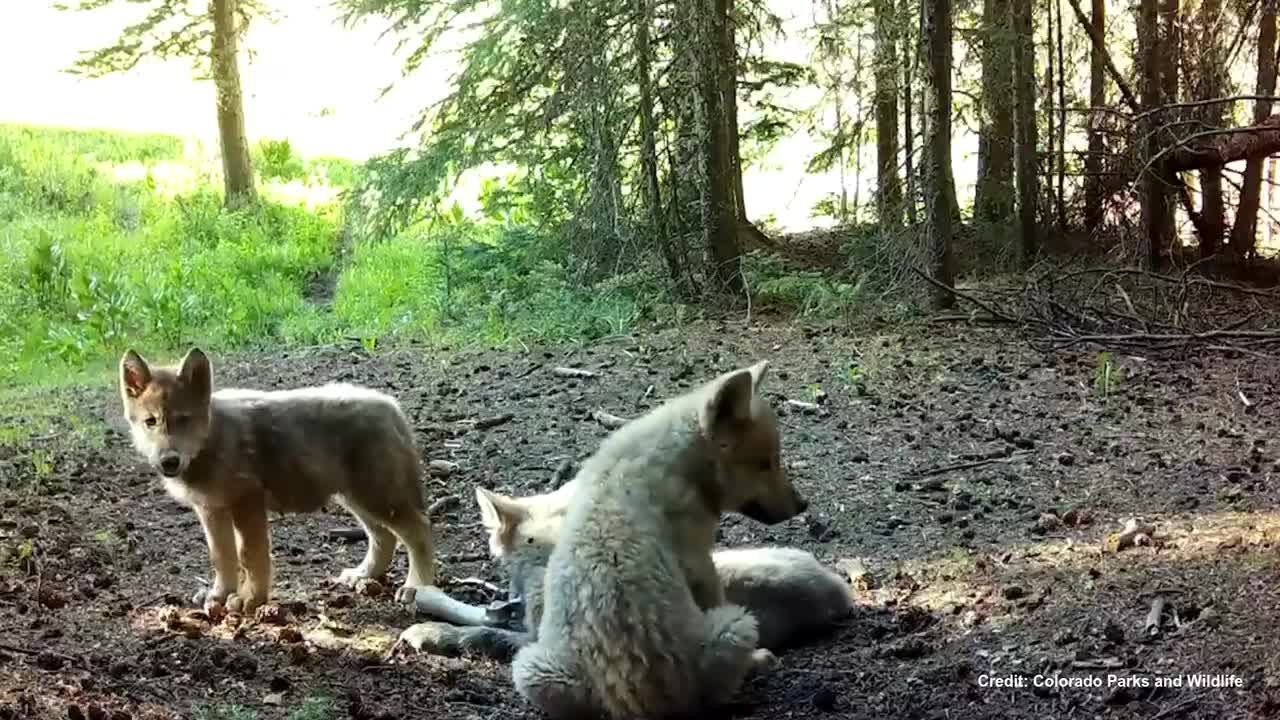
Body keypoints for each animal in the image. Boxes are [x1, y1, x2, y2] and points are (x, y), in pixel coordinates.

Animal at [118, 348, 439, 616]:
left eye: (183, 420)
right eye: (151, 422)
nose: (169, 461)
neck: (212, 441)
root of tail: (390, 406)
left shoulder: (246, 503)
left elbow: (249, 556)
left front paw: (250, 599)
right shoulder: (211, 510)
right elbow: (222, 557)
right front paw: (220, 594)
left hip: (378, 496)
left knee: (419, 531)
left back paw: (416, 587)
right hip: (357, 498)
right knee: (383, 537)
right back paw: (364, 575)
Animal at [401, 482, 853, 662]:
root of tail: (840, 593)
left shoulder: (540, 637)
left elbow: (482, 632)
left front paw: (428, 633)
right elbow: (478, 613)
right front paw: (425, 596)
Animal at [509, 360, 810, 719]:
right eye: (764, 464)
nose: (803, 504)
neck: (680, 463)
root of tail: (642, 701)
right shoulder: (700, 563)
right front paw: (758, 660)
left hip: (531, 668)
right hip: (739, 623)